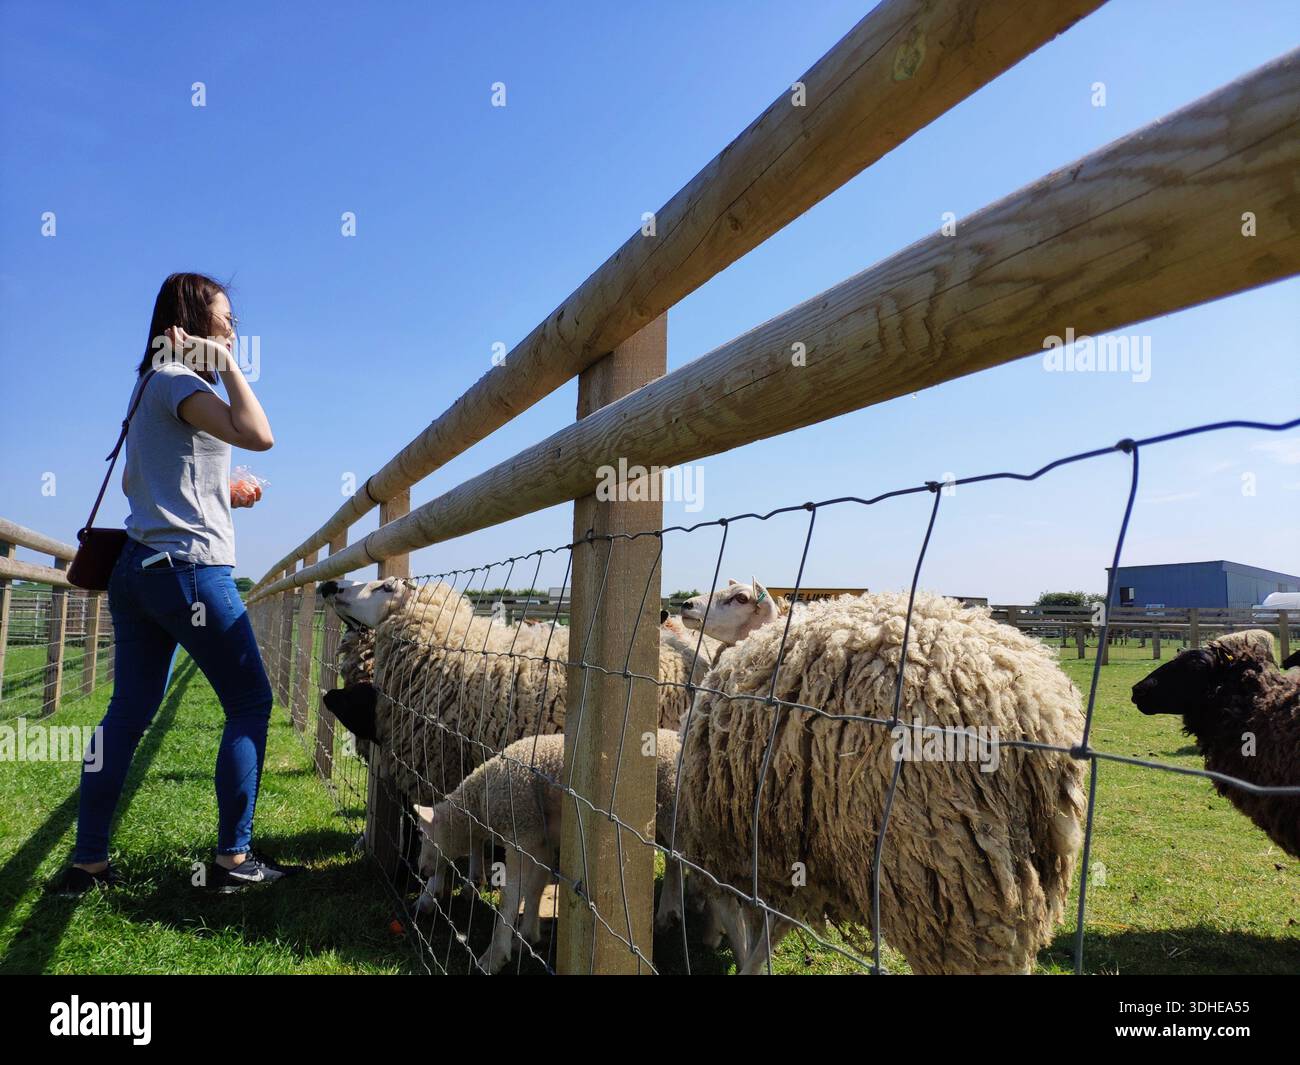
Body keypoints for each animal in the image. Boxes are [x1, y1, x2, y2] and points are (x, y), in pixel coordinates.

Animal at [413, 728, 686, 972]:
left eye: (423, 835)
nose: (422, 870)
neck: (480, 800)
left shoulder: (521, 833)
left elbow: (512, 895)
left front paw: (495, 955)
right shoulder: (540, 842)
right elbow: (535, 887)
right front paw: (527, 936)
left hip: (672, 813)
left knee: (679, 860)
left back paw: (670, 912)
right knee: (676, 860)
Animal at [674, 589, 1087, 975]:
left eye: (739, 597)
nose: (686, 607)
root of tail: (1031, 709)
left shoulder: (724, 845)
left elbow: (744, 922)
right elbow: (768, 929)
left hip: (947, 872)